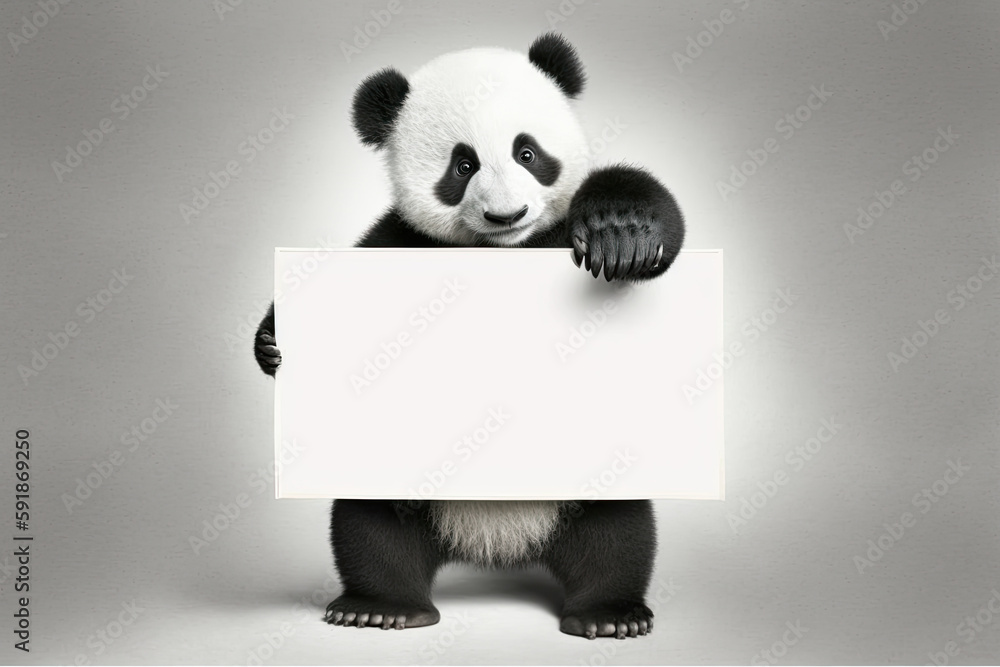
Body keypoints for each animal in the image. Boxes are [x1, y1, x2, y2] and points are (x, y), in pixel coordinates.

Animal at [254, 33, 685, 640]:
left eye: (527, 153)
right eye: (463, 165)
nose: (507, 214)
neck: (500, 252)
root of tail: (497, 543)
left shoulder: (554, 236)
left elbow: (652, 222)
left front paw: (621, 231)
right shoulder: (405, 242)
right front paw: (274, 343)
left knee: (618, 535)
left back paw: (608, 615)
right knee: (370, 528)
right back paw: (381, 606)